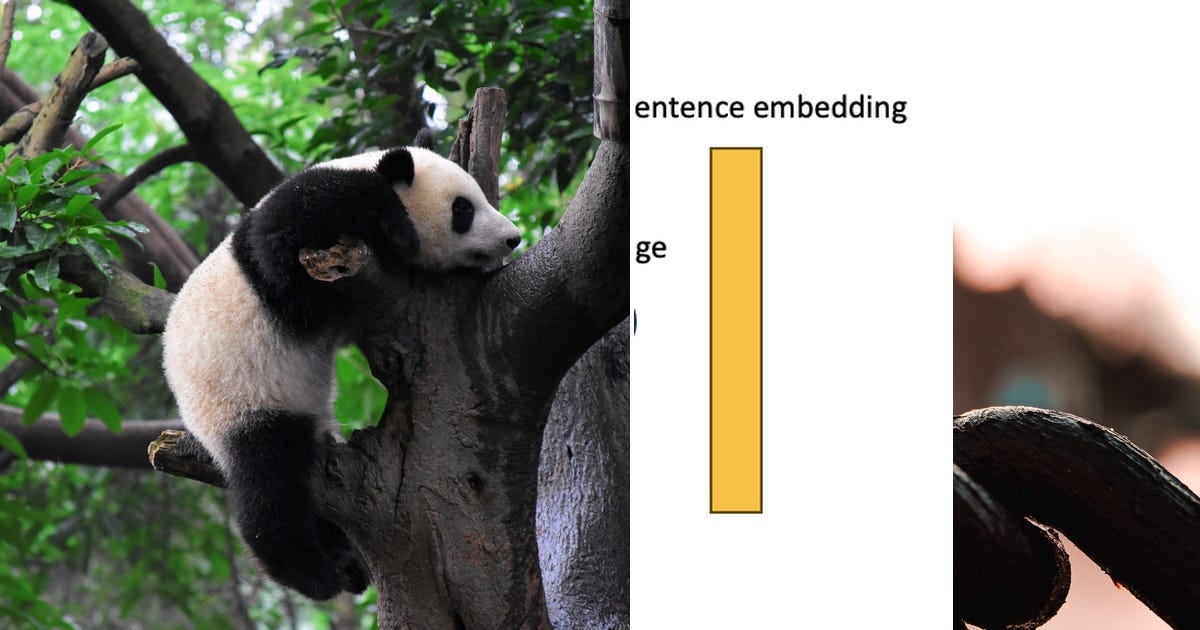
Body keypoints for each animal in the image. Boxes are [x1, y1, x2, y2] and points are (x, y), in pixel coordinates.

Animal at [161, 143, 521, 600]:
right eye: (463, 209)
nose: (513, 237)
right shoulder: (289, 242)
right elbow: (280, 244)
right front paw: (401, 230)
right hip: (240, 401)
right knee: (271, 483)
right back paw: (312, 573)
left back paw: (348, 563)